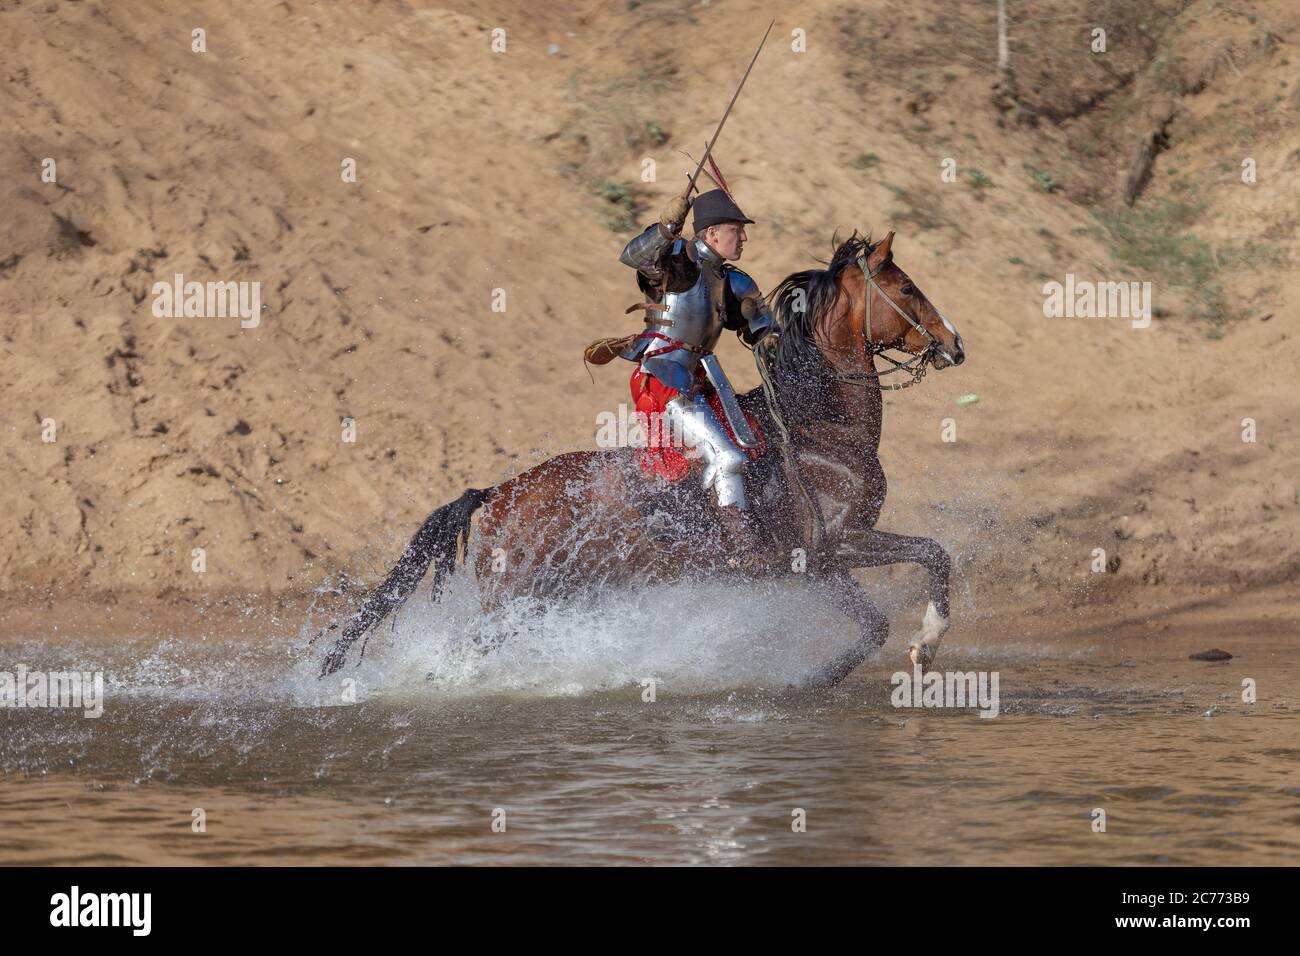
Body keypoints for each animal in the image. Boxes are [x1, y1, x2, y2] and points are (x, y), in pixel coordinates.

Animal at [317, 230, 965, 687]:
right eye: (907, 288)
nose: (955, 344)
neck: (821, 428)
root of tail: (499, 495)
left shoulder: (824, 563)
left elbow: (887, 610)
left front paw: (829, 676)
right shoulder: (837, 546)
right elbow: (927, 563)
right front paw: (920, 646)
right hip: (516, 600)